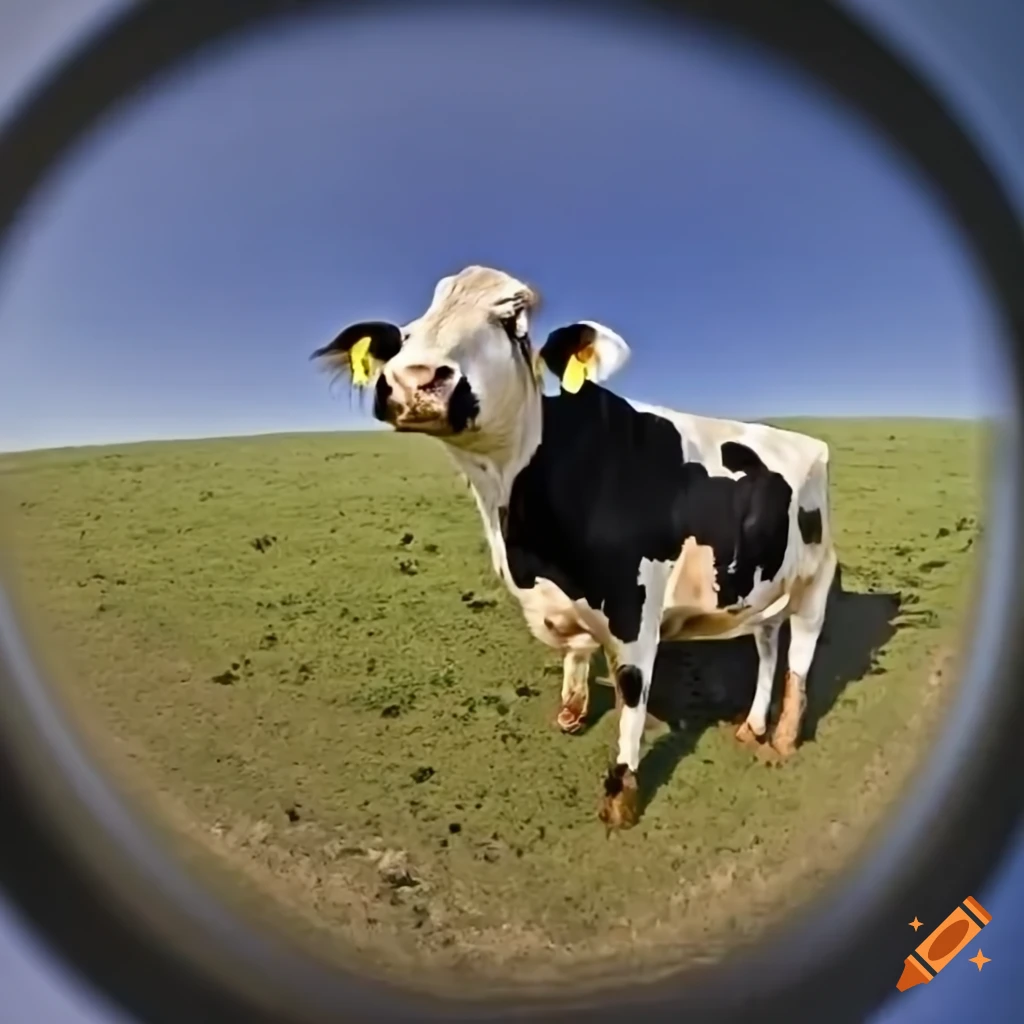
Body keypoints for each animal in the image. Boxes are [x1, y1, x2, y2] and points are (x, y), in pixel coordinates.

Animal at [312, 266, 838, 830]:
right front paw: (572, 709)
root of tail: (804, 441)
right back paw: (752, 726)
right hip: (763, 586)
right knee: (767, 646)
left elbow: (631, 688)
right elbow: (578, 652)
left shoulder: (635, 609)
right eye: (405, 336)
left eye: (513, 324)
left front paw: (621, 794)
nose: (414, 380)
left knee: (799, 658)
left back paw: (783, 739)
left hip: (815, 583)